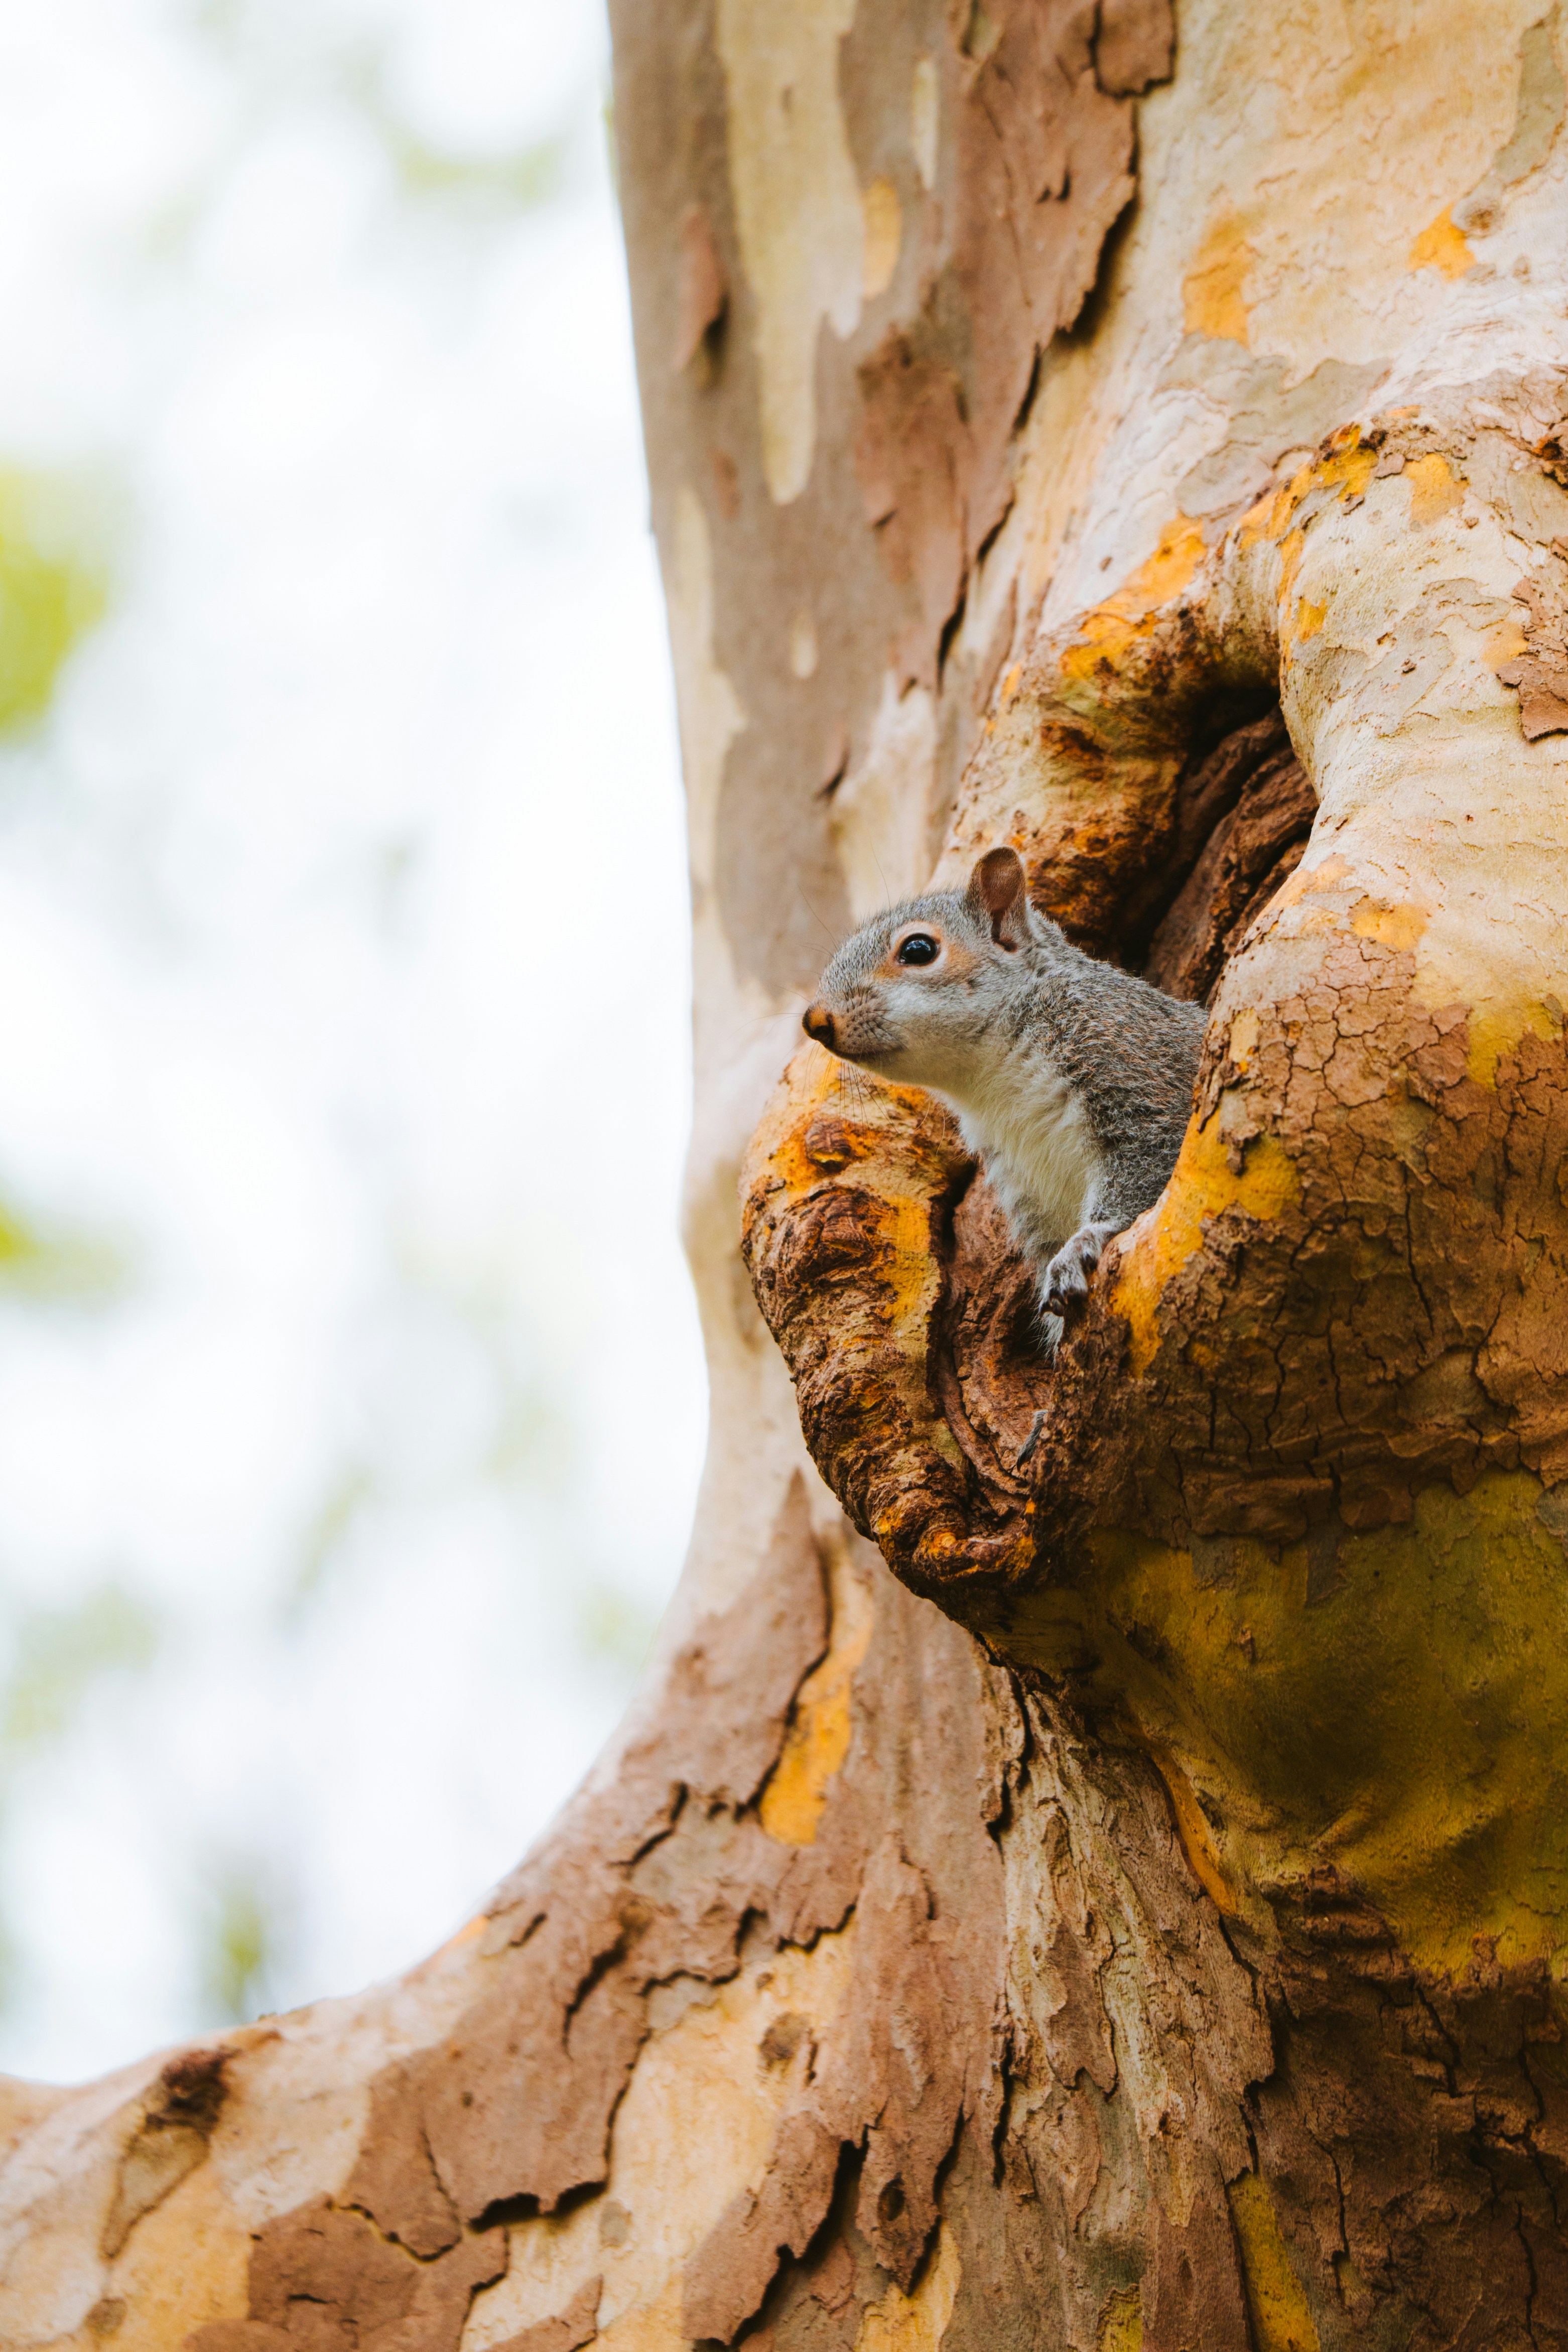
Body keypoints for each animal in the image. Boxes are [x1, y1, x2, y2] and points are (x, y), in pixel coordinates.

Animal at [801, 845, 1206, 1346]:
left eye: (918, 950)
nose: (816, 1020)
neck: (993, 1079)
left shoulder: (1135, 1068)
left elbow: (1146, 1174)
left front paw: (1084, 1246)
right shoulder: (1027, 1186)